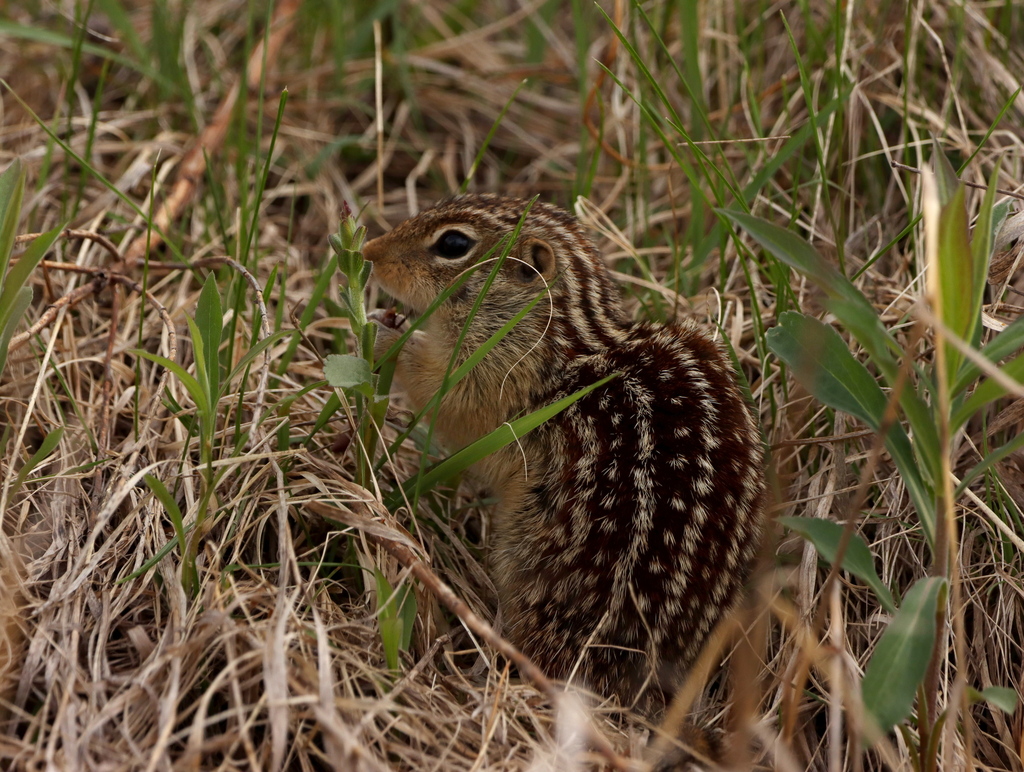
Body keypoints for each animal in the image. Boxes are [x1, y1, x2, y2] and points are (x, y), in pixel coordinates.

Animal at [362, 194, 765, 720]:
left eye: (452, 244)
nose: (368, 251)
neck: (564, 342)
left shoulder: (500, 381)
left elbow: (449, 400)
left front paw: (388, 335)